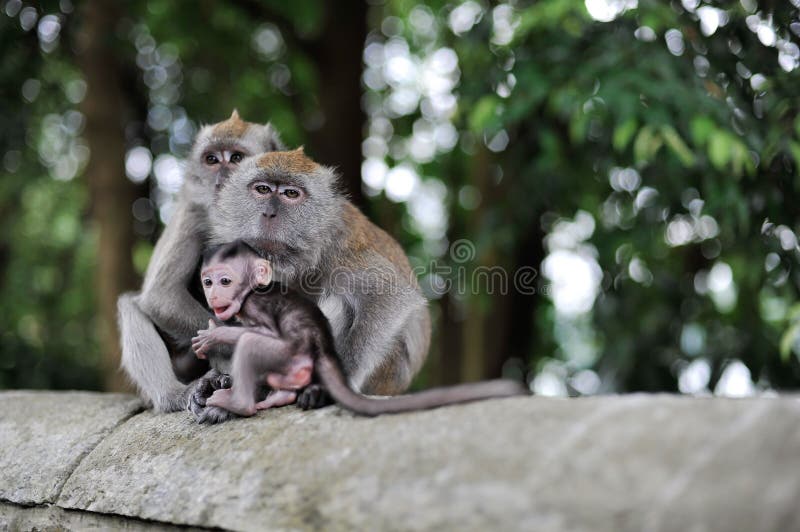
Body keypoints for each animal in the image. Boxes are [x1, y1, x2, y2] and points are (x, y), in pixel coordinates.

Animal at [116, 110, 284, 423]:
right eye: (212, 160)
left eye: (236, 158)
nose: (221, 181)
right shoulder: (194, 214)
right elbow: (161, 297)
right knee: (131, 305)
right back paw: (176, 394)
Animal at [192, 241, 528, 417]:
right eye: (207, 281)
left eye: (225, 280)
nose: (214, 294)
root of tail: (322, 349)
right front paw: (210, 377)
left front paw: (217, 337)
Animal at [208, 147, 432, 402]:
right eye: (262, 189)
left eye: (291, 194)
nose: (269, 213)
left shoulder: (340, 249)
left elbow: (389, 293)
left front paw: (340, 381)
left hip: (387, 373)